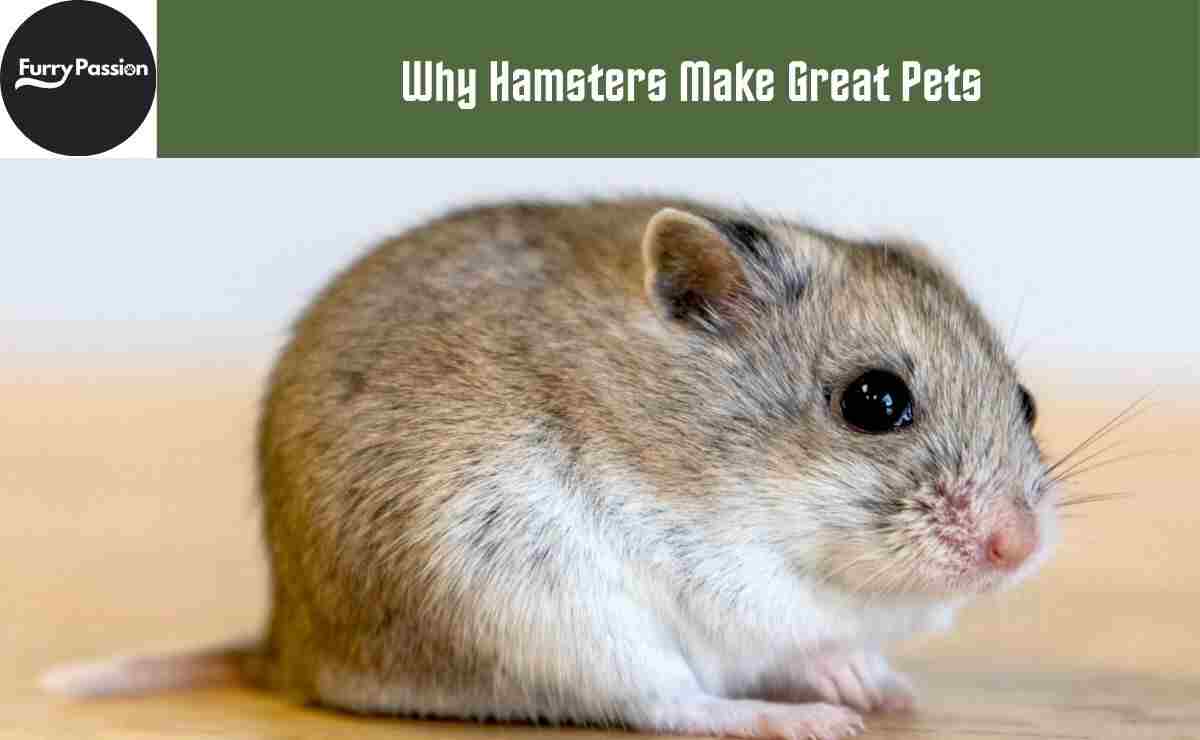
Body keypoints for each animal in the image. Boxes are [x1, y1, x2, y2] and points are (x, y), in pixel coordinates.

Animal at [43, 199, 1057, 740]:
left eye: (1027, 401)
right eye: (874, 401)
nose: (1018, 546)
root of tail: (283, 647)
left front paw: (887, 686)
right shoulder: (721, 577)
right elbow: (780, 639)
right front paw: (842, 687)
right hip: (548, 614)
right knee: (670, 704)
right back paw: (793, 719)